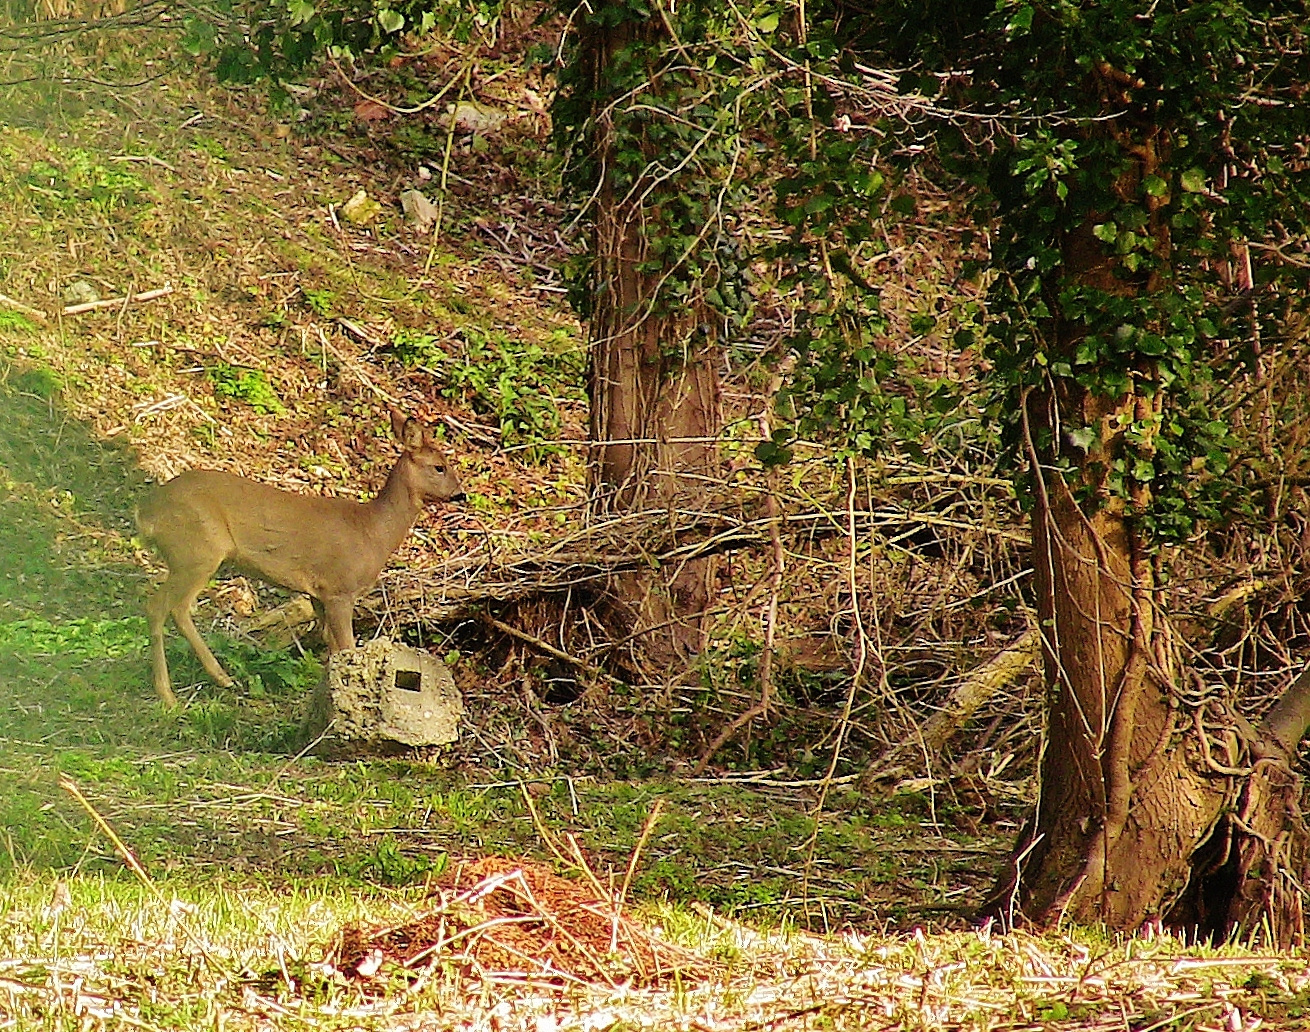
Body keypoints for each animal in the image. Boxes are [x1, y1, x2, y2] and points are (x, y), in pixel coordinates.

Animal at [136, 405, 466, 707]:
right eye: (440, 466)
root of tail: (149, 513)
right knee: (163, 606)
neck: (373, 531)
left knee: (172, 608)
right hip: (197, 551)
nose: (460, 493)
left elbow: (331, 650)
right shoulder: (339, 589)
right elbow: (347, 648)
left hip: (193, 556)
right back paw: (176, 692)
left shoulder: (318, 595)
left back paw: (211, 680)